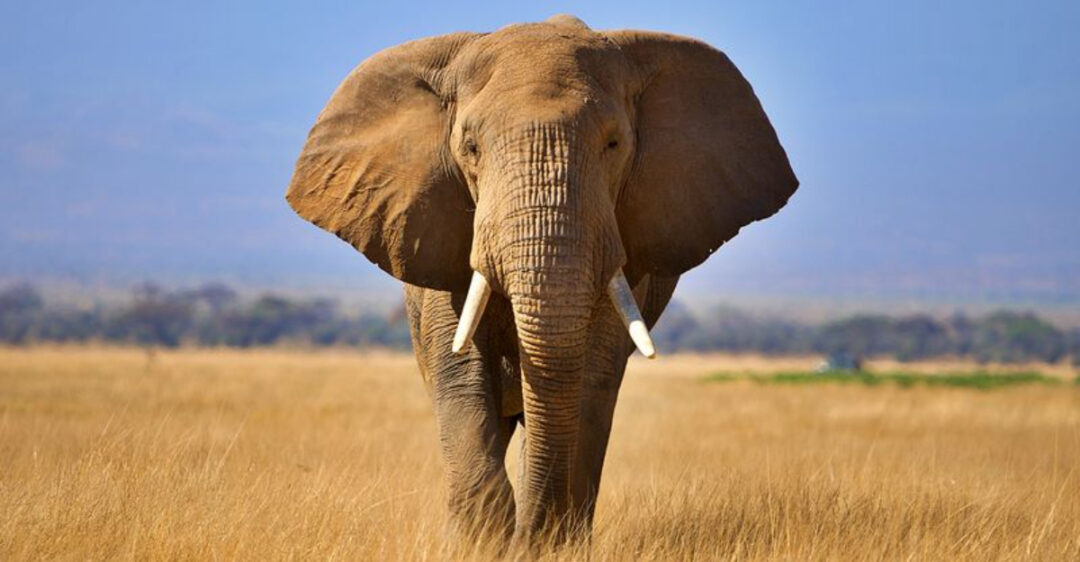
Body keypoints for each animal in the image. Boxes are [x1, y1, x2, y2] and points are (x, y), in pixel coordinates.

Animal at [286, 14, 798, 548]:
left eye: (614, 144)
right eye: (470, 148)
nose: (527, 539)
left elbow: (590, 374)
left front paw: (550, 545)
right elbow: (461, 369)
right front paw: (481, 545)